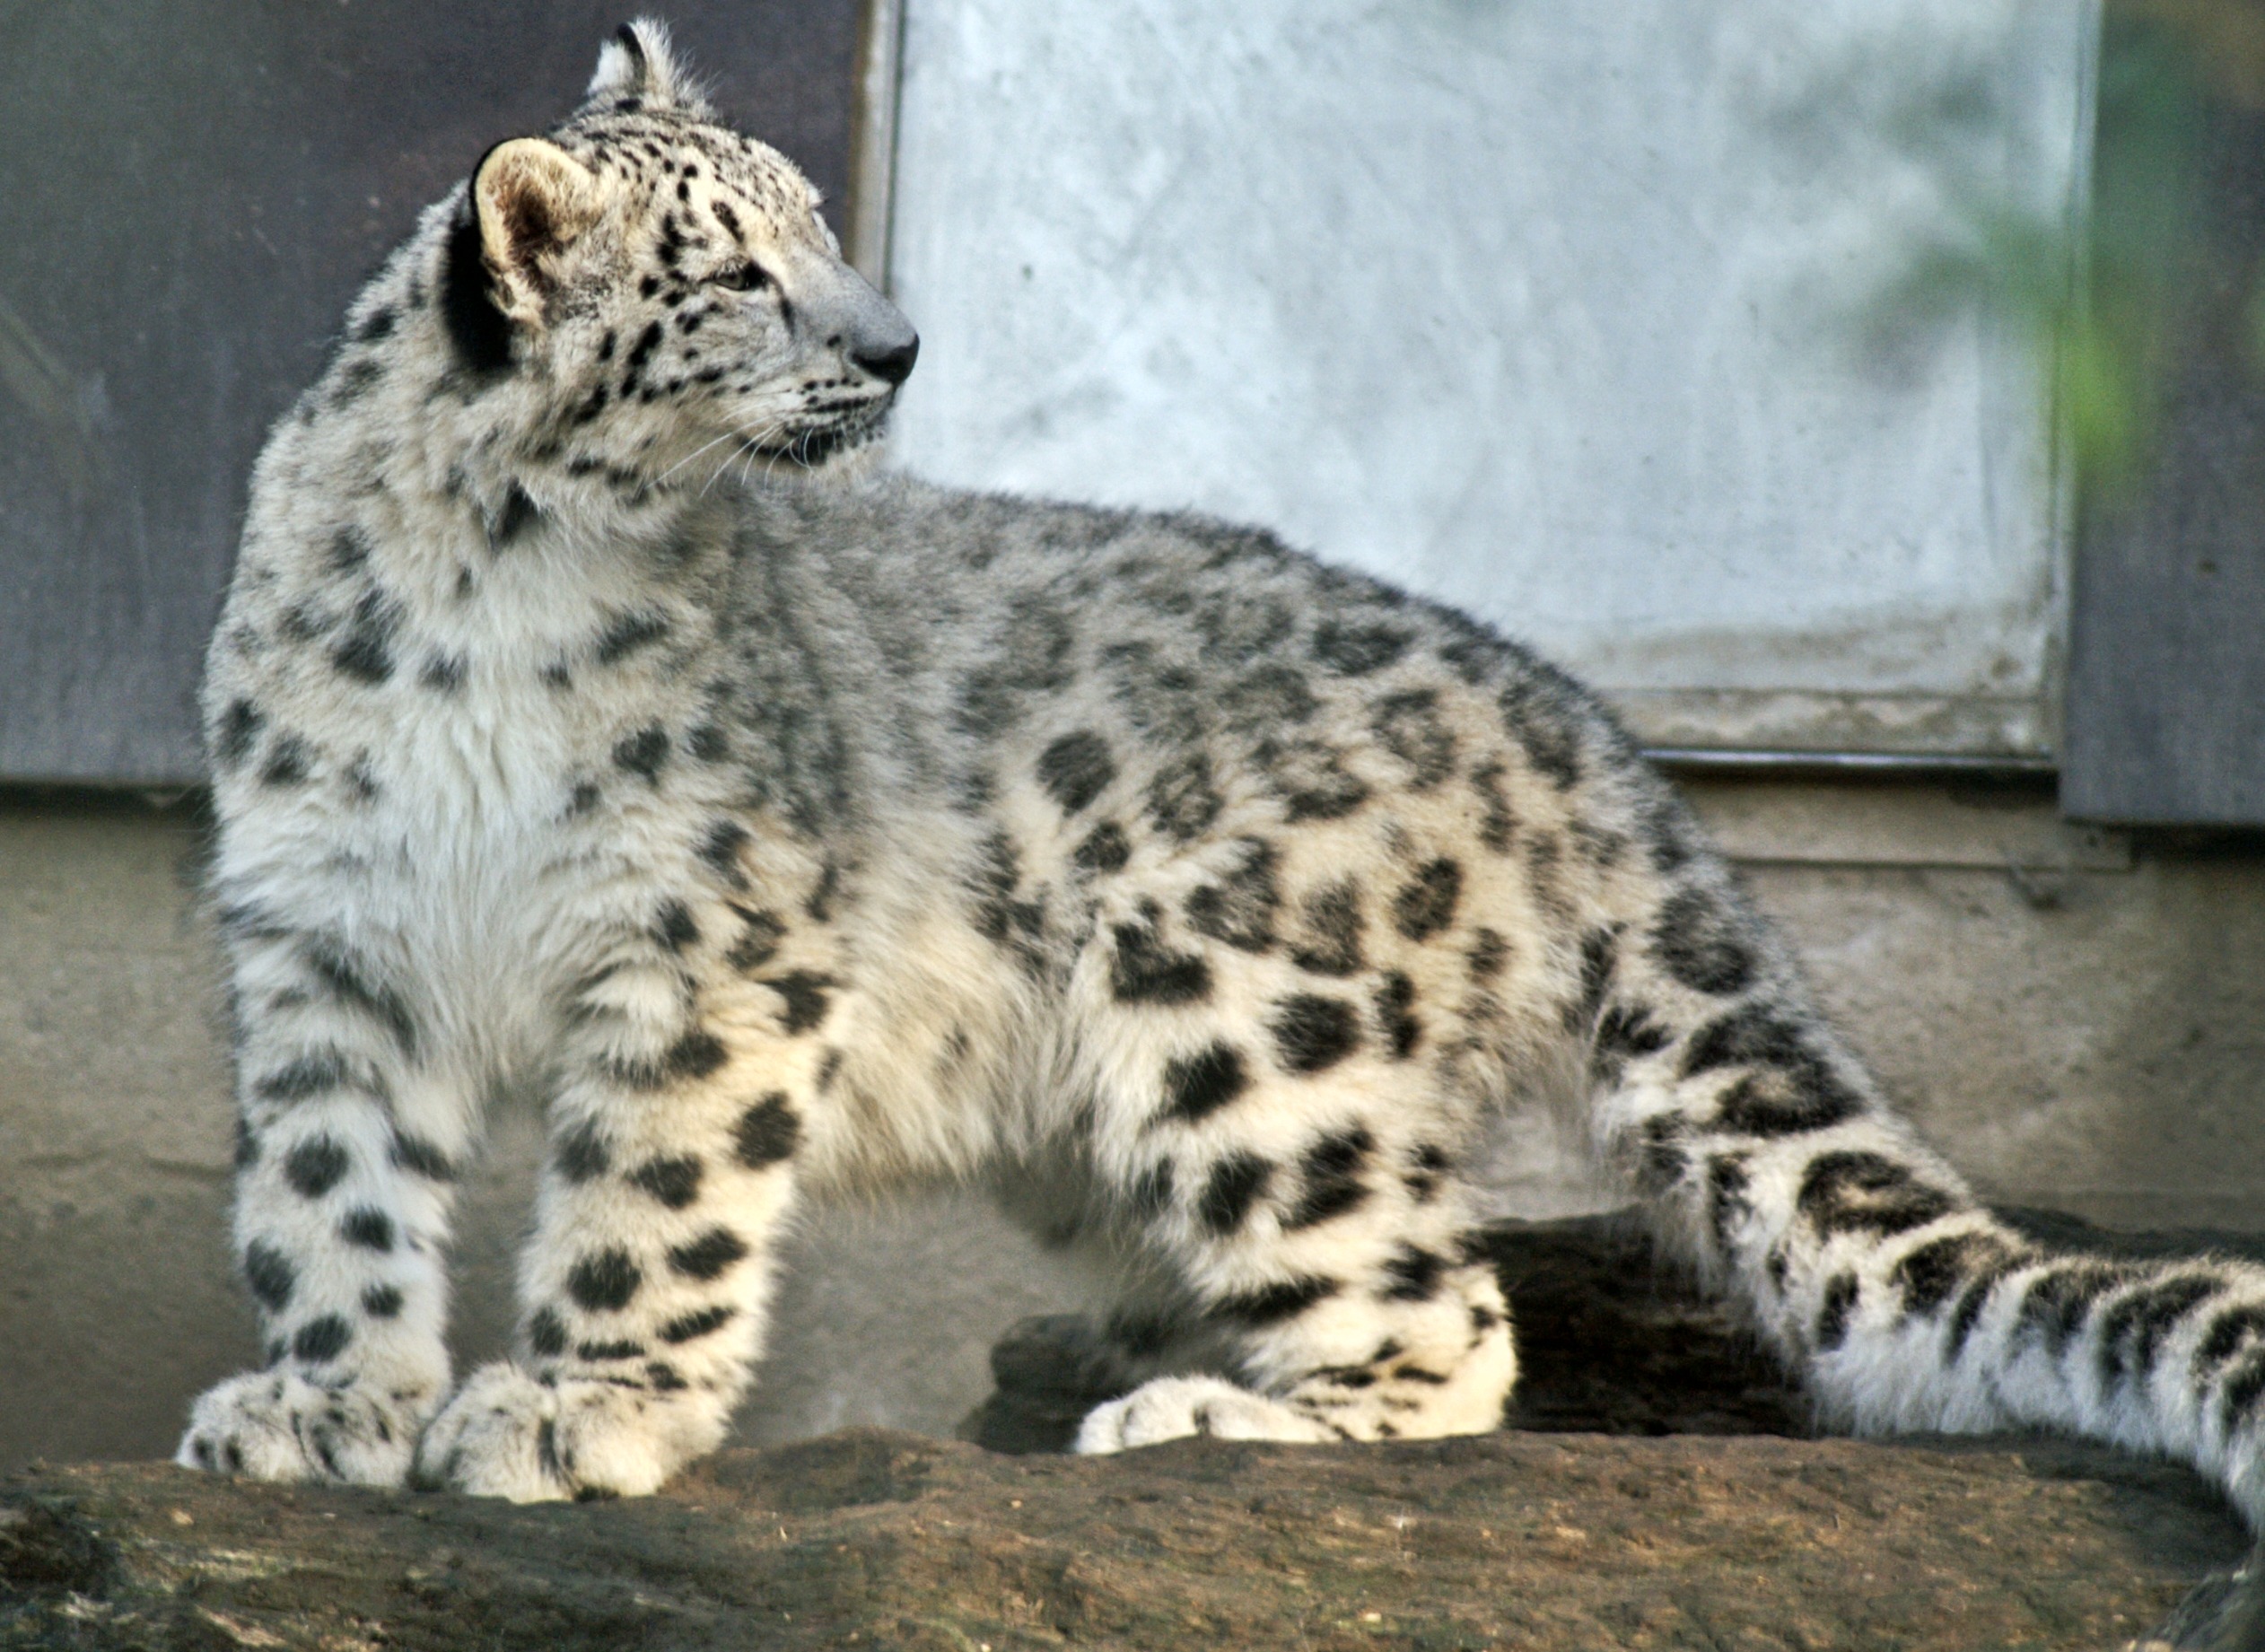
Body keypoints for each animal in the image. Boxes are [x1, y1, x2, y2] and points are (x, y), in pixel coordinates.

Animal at [177, 20, 2265, 1524]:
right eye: (741, 270)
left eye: (820, 230)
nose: (896, 340)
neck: (491, 580)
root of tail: (1574, 723)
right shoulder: (320, 923)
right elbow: (327, 1180)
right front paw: (324, 1400)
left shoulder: (708, 930)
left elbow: (652, 1187)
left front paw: (573, 1404)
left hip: (1243, 1013)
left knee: (1449, 1312)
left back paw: (1208, 1422)